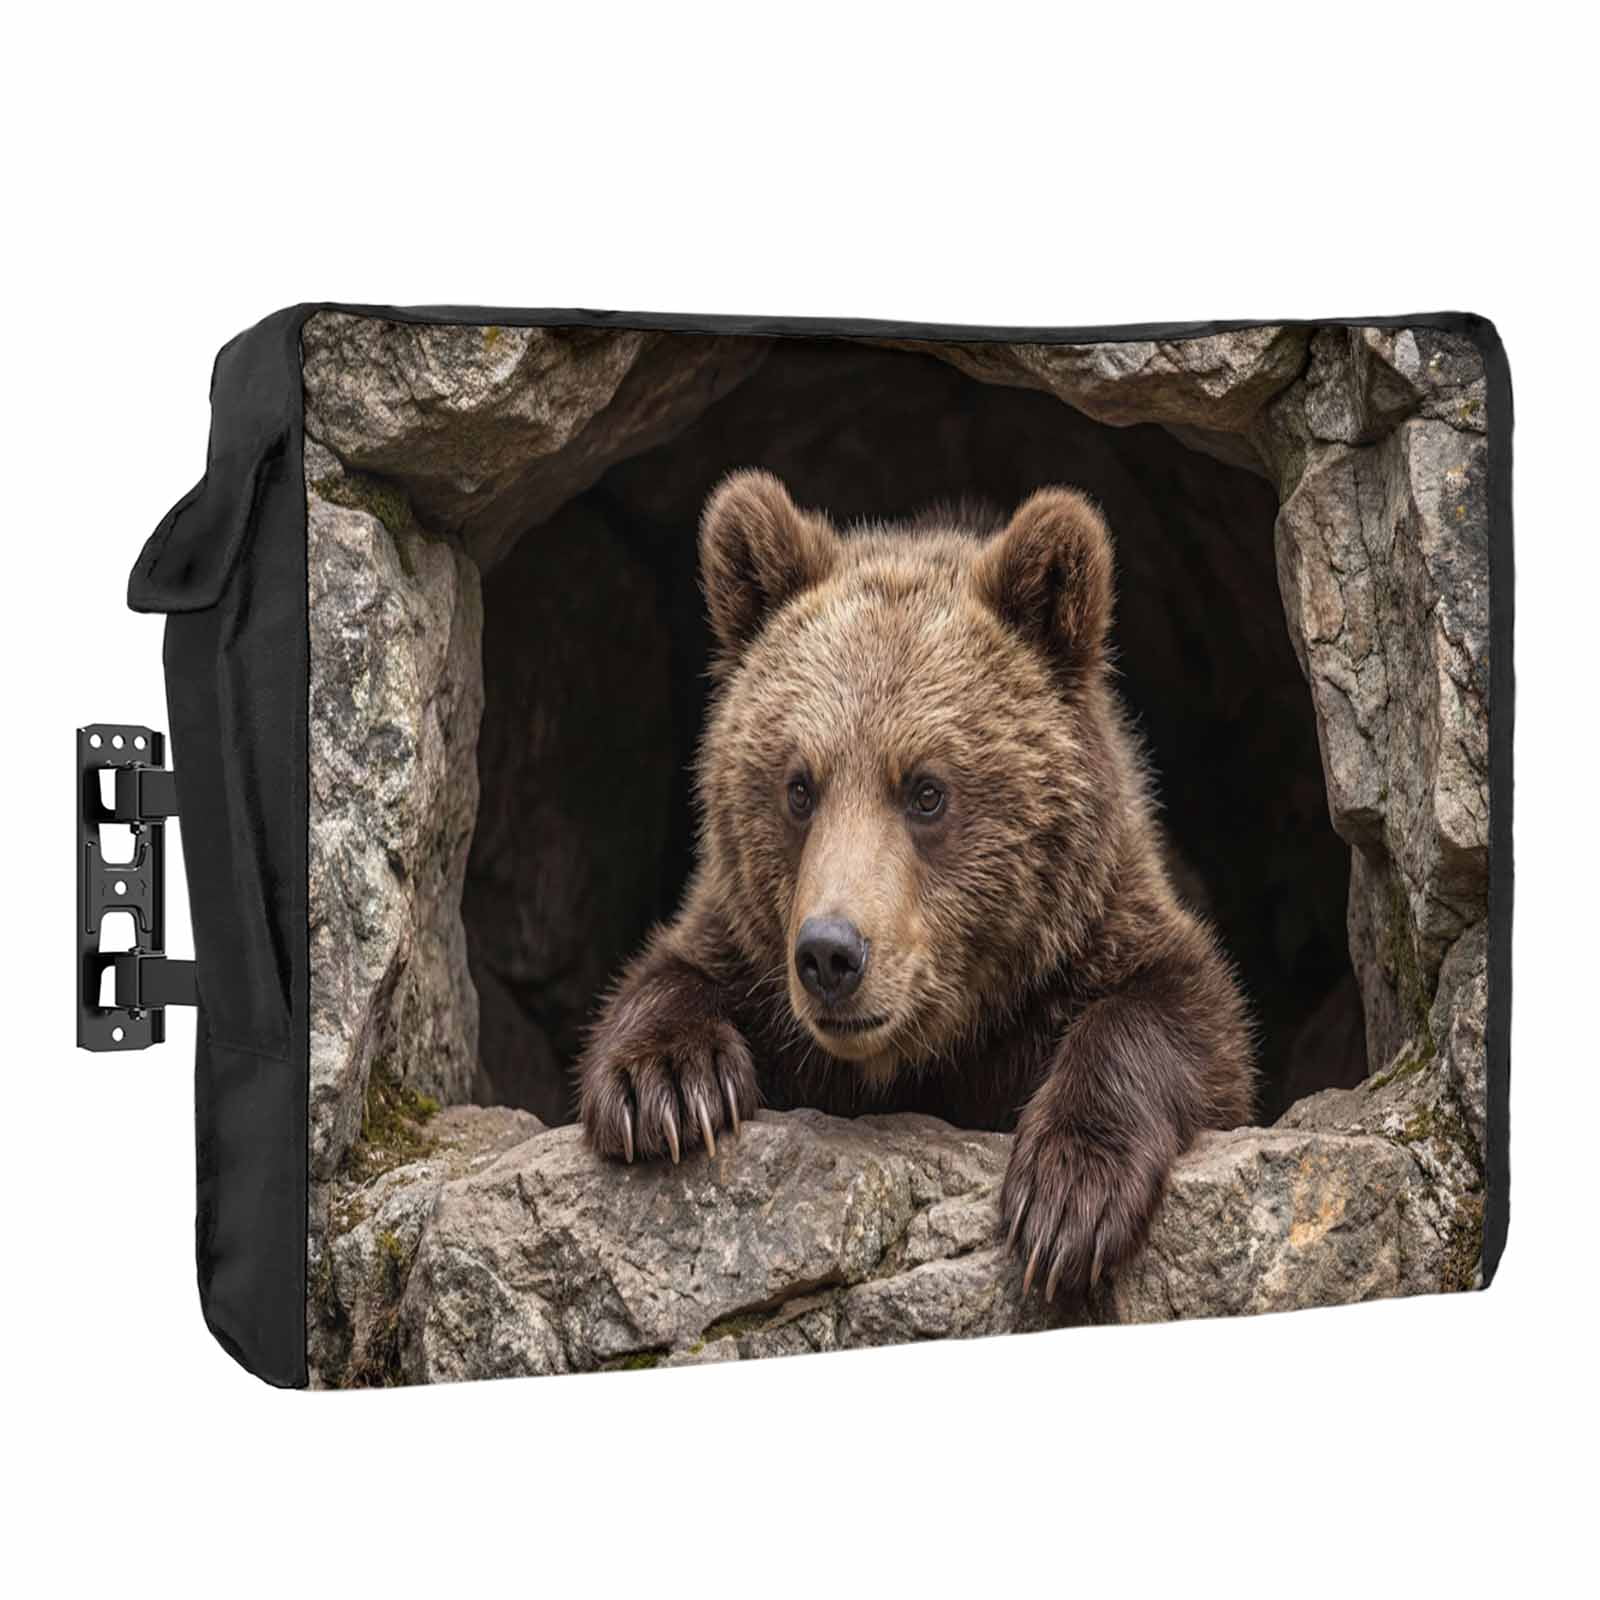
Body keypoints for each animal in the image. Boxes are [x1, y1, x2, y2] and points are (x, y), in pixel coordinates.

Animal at [578, 468, 1254, 1299]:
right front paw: (668, 1088)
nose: (831, 954)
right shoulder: (743, 943)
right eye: (799, 786)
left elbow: (1181, 1013)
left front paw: (1068, 1198)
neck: (921, 1054)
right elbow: (670, 974)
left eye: (927, 790)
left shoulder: (1092, 933)